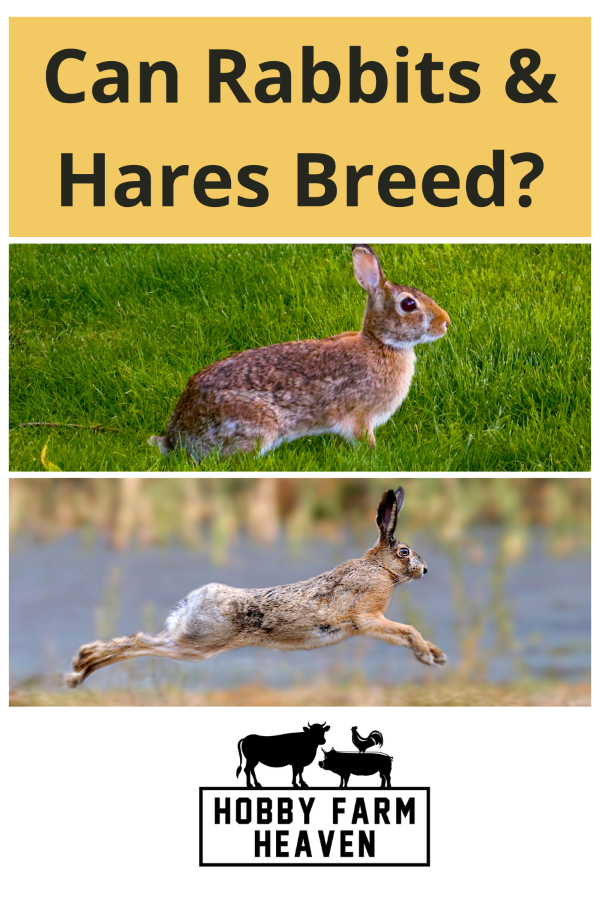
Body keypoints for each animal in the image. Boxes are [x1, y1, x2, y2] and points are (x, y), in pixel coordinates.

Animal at [65, 485, 447, 688]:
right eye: (404, 552)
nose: (426, 570)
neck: (379, 567)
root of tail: (192, 601)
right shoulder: (366, 618)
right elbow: (407, 630)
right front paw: (428, 656)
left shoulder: (369, 625)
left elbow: (403, 634)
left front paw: (437, 655)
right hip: (197, 645)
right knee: (143, 642)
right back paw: (79, 669)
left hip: (191, 642)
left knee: (141, 641)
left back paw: (81, 666)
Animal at [149, 244, 450, 459]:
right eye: (408, 304)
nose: (446, 323)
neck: (380, 343)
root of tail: (177, 437)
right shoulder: (360, 417)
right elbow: (363, 438)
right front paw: (376, 453)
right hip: (257, 426)